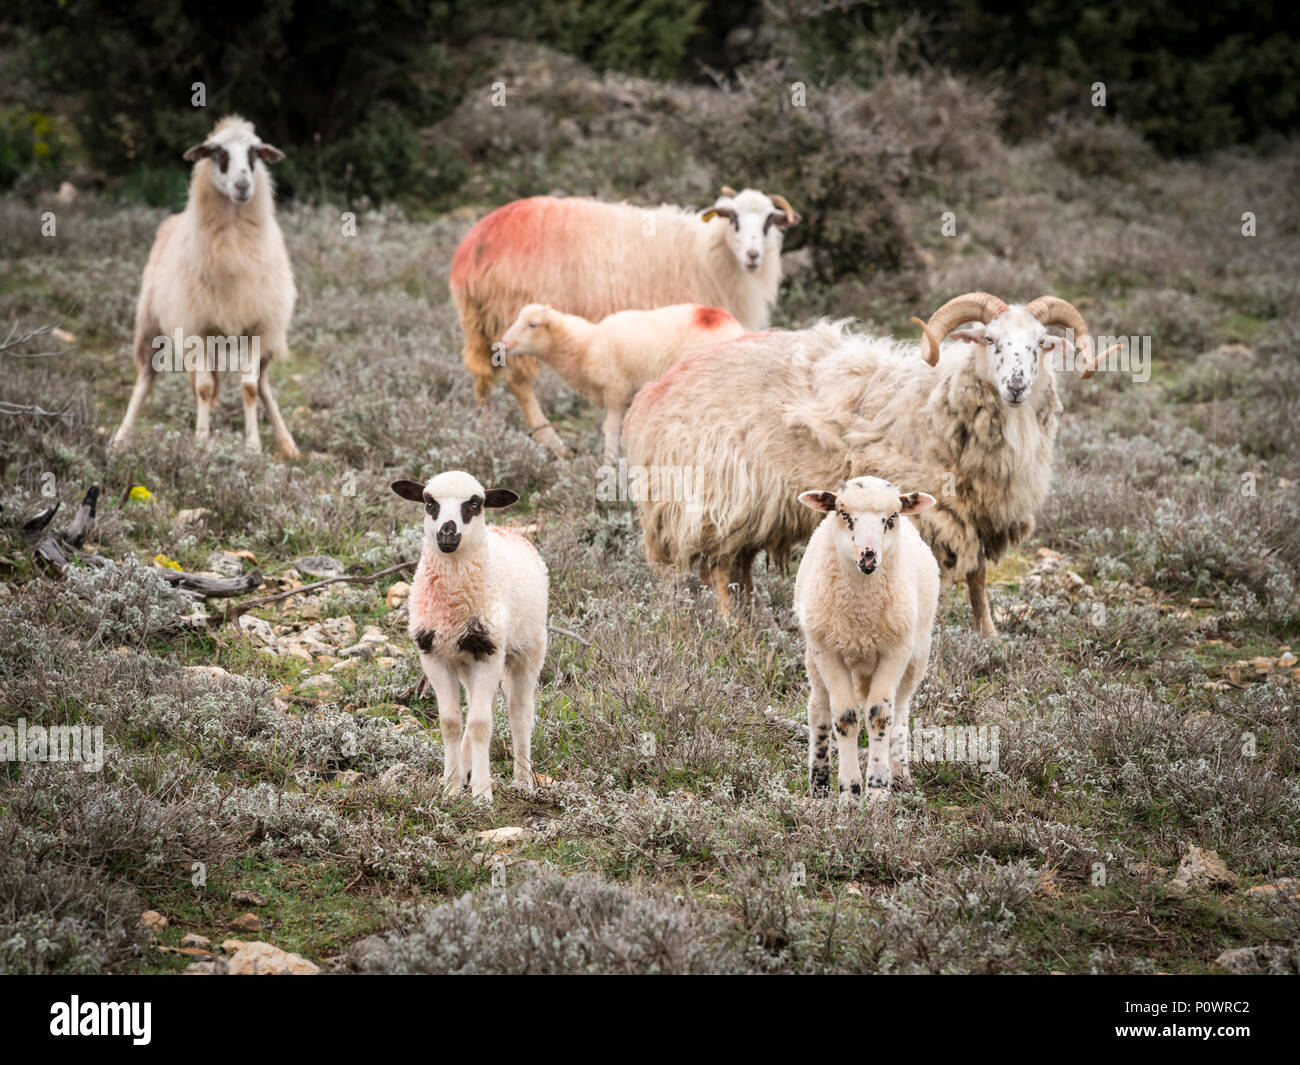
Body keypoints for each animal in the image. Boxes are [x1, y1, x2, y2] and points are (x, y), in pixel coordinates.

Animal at [109, 115, 298, 457]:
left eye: (255, 153)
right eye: (217, 153)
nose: (243, 186)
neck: (233, 243)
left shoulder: (256, 325)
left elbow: (250, 388)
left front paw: (253, 446)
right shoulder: (195, 327)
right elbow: (205, 388)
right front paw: (200, 441)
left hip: (262, 338)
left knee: (263, 384)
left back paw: (287, 443)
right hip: (151, 325)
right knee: (144, 380)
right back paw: (120, 437)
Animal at [391, 470, 547, 802]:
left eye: (475, 504)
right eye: (429, 502)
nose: (448, 533)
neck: (452, 604)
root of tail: (506, 529)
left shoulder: (489, 653)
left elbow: (479, 724)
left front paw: (482, 794)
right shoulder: (434, 655)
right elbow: (452, 723)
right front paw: (451, 786)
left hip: (529, 649)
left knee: (520, 713)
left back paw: (523, 781)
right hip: (465, 661)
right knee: (480, 704)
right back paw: (465, 769)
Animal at [499, 302, 746, 462]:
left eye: (532, 324)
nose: (504, 343)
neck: (586, 344)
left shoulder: (615, 390)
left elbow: (610, 429)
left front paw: (608, 463)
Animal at [623, 292, 1115, 634]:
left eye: (1040, 345)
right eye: (990, 340)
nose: (1016, 385)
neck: (936, 401)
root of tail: (654, 396)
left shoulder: (976, 514)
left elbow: (977, 579)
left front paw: (988, 635)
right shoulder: (939, 513)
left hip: (754, 505)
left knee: (740, 566)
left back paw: (756, 620)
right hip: (721, 494)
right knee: (721, 567)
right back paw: (731, 625)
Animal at [794, 476, 939, 801]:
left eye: (892, 516)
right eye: (843, 513)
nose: (869, 554)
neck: (861, 616)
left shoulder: (895, 651)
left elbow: (879, 716)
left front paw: (877, 789)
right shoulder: (829, 651)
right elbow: (845, 717)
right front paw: (849, 792)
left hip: (916, 656)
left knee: (900, 709)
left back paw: (899, 774)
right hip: (813, 654)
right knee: (819, 708)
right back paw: (819, 783)